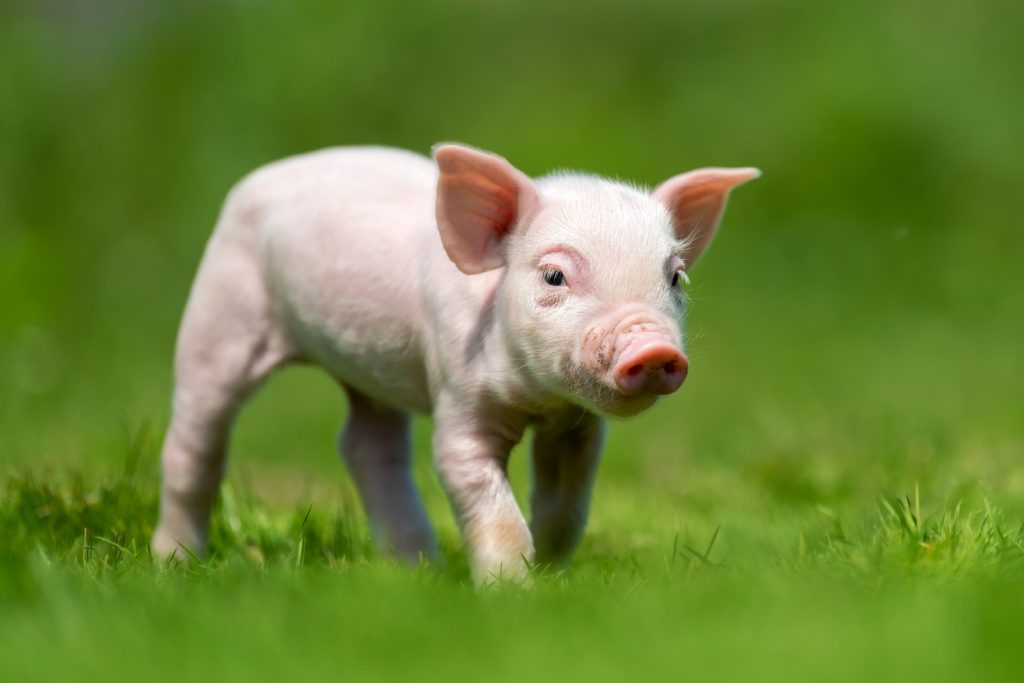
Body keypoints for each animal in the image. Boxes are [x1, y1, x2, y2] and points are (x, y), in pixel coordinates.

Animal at [151, 143, 758, 583]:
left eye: (675, 277)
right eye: (554, 275)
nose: (652, 347)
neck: (539, 401)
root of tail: (262, 176)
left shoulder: (577, 427)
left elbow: (566, 505)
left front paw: (551, 572)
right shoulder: (458, 395)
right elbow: (477, 488)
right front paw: (513, 592)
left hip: (368, 371)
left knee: (366, 445)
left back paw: (418, 569)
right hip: (220, 313)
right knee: (195, 439)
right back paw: (174, 564)